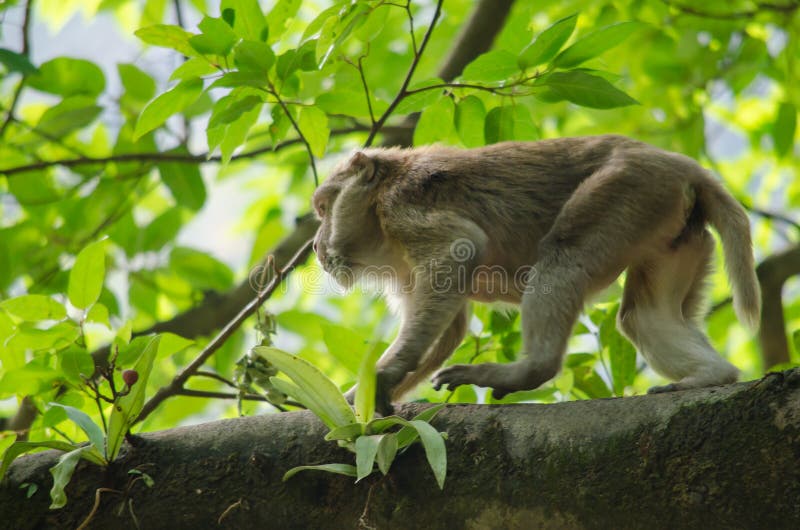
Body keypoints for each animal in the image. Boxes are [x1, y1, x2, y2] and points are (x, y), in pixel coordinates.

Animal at [311, 135, 761, 415]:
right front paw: (361, 396)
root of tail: (681, 166)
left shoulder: (402, 209)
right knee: (645, 316)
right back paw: (711, 375)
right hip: (677, 231)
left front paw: (383, 376)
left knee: (563, 256)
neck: (377, 209)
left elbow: (459, 250)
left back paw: (528, 370)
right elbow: (449, 329)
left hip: (627, 187)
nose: (315, 245)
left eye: (323, 209)